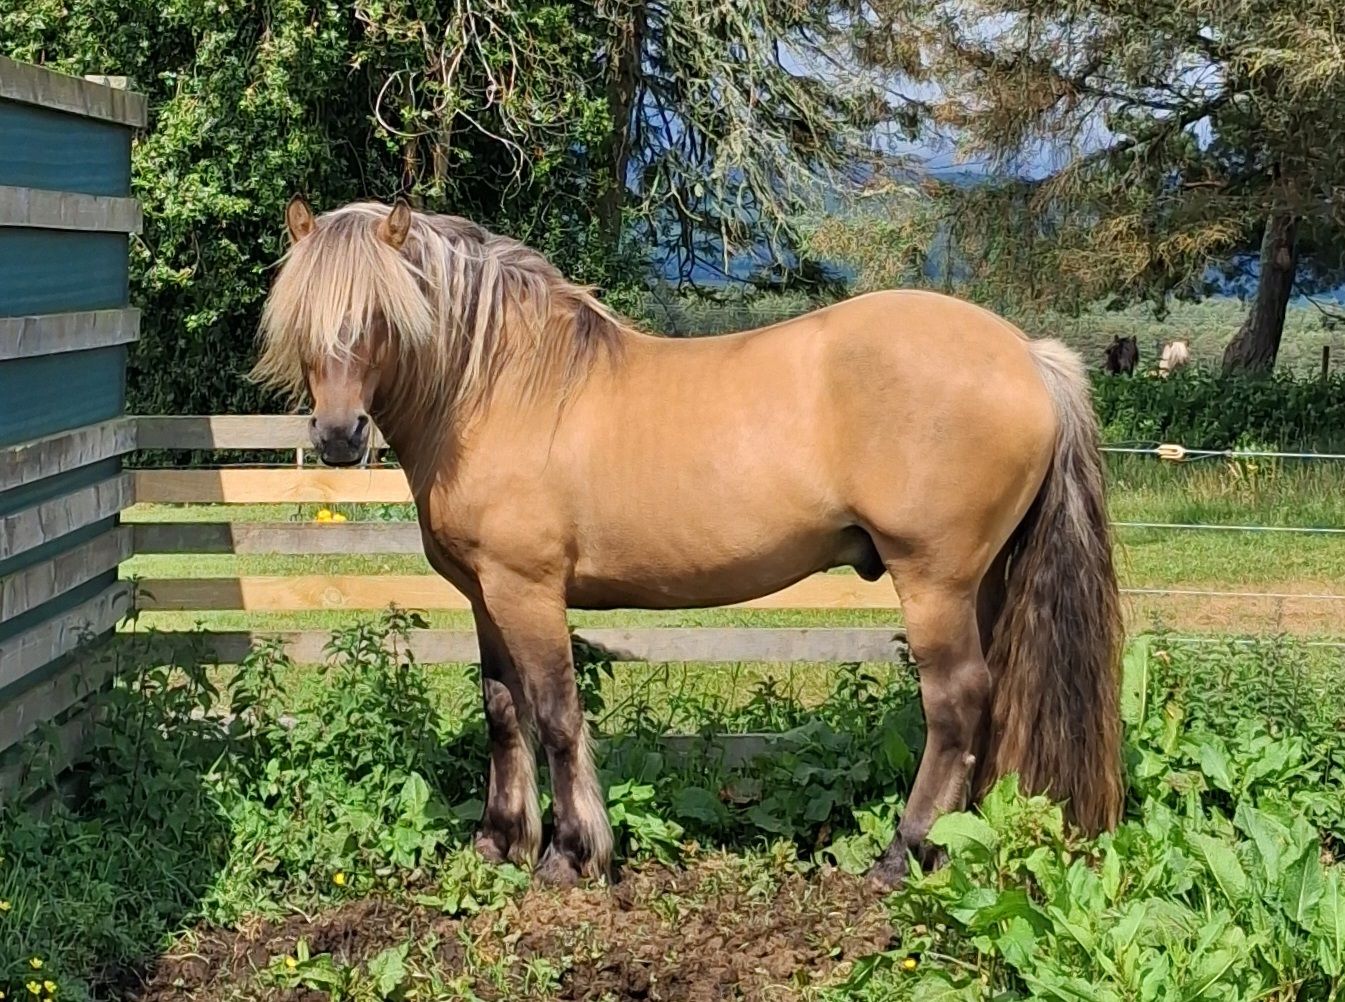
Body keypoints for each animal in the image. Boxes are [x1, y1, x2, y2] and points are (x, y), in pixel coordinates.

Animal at [252, 196, 1124, 891]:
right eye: (303, 318)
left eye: (381, 313)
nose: (338, 436)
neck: (502, 388)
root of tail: (1027, 355)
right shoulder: (483, 594)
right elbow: (502, 710)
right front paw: (500, 842)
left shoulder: (526, 589)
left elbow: (555, 714)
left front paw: (572, 855)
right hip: (983, 582)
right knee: (992, 704)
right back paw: (954, 843)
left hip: (933, 582)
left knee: (956, 704)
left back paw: (899, 856)